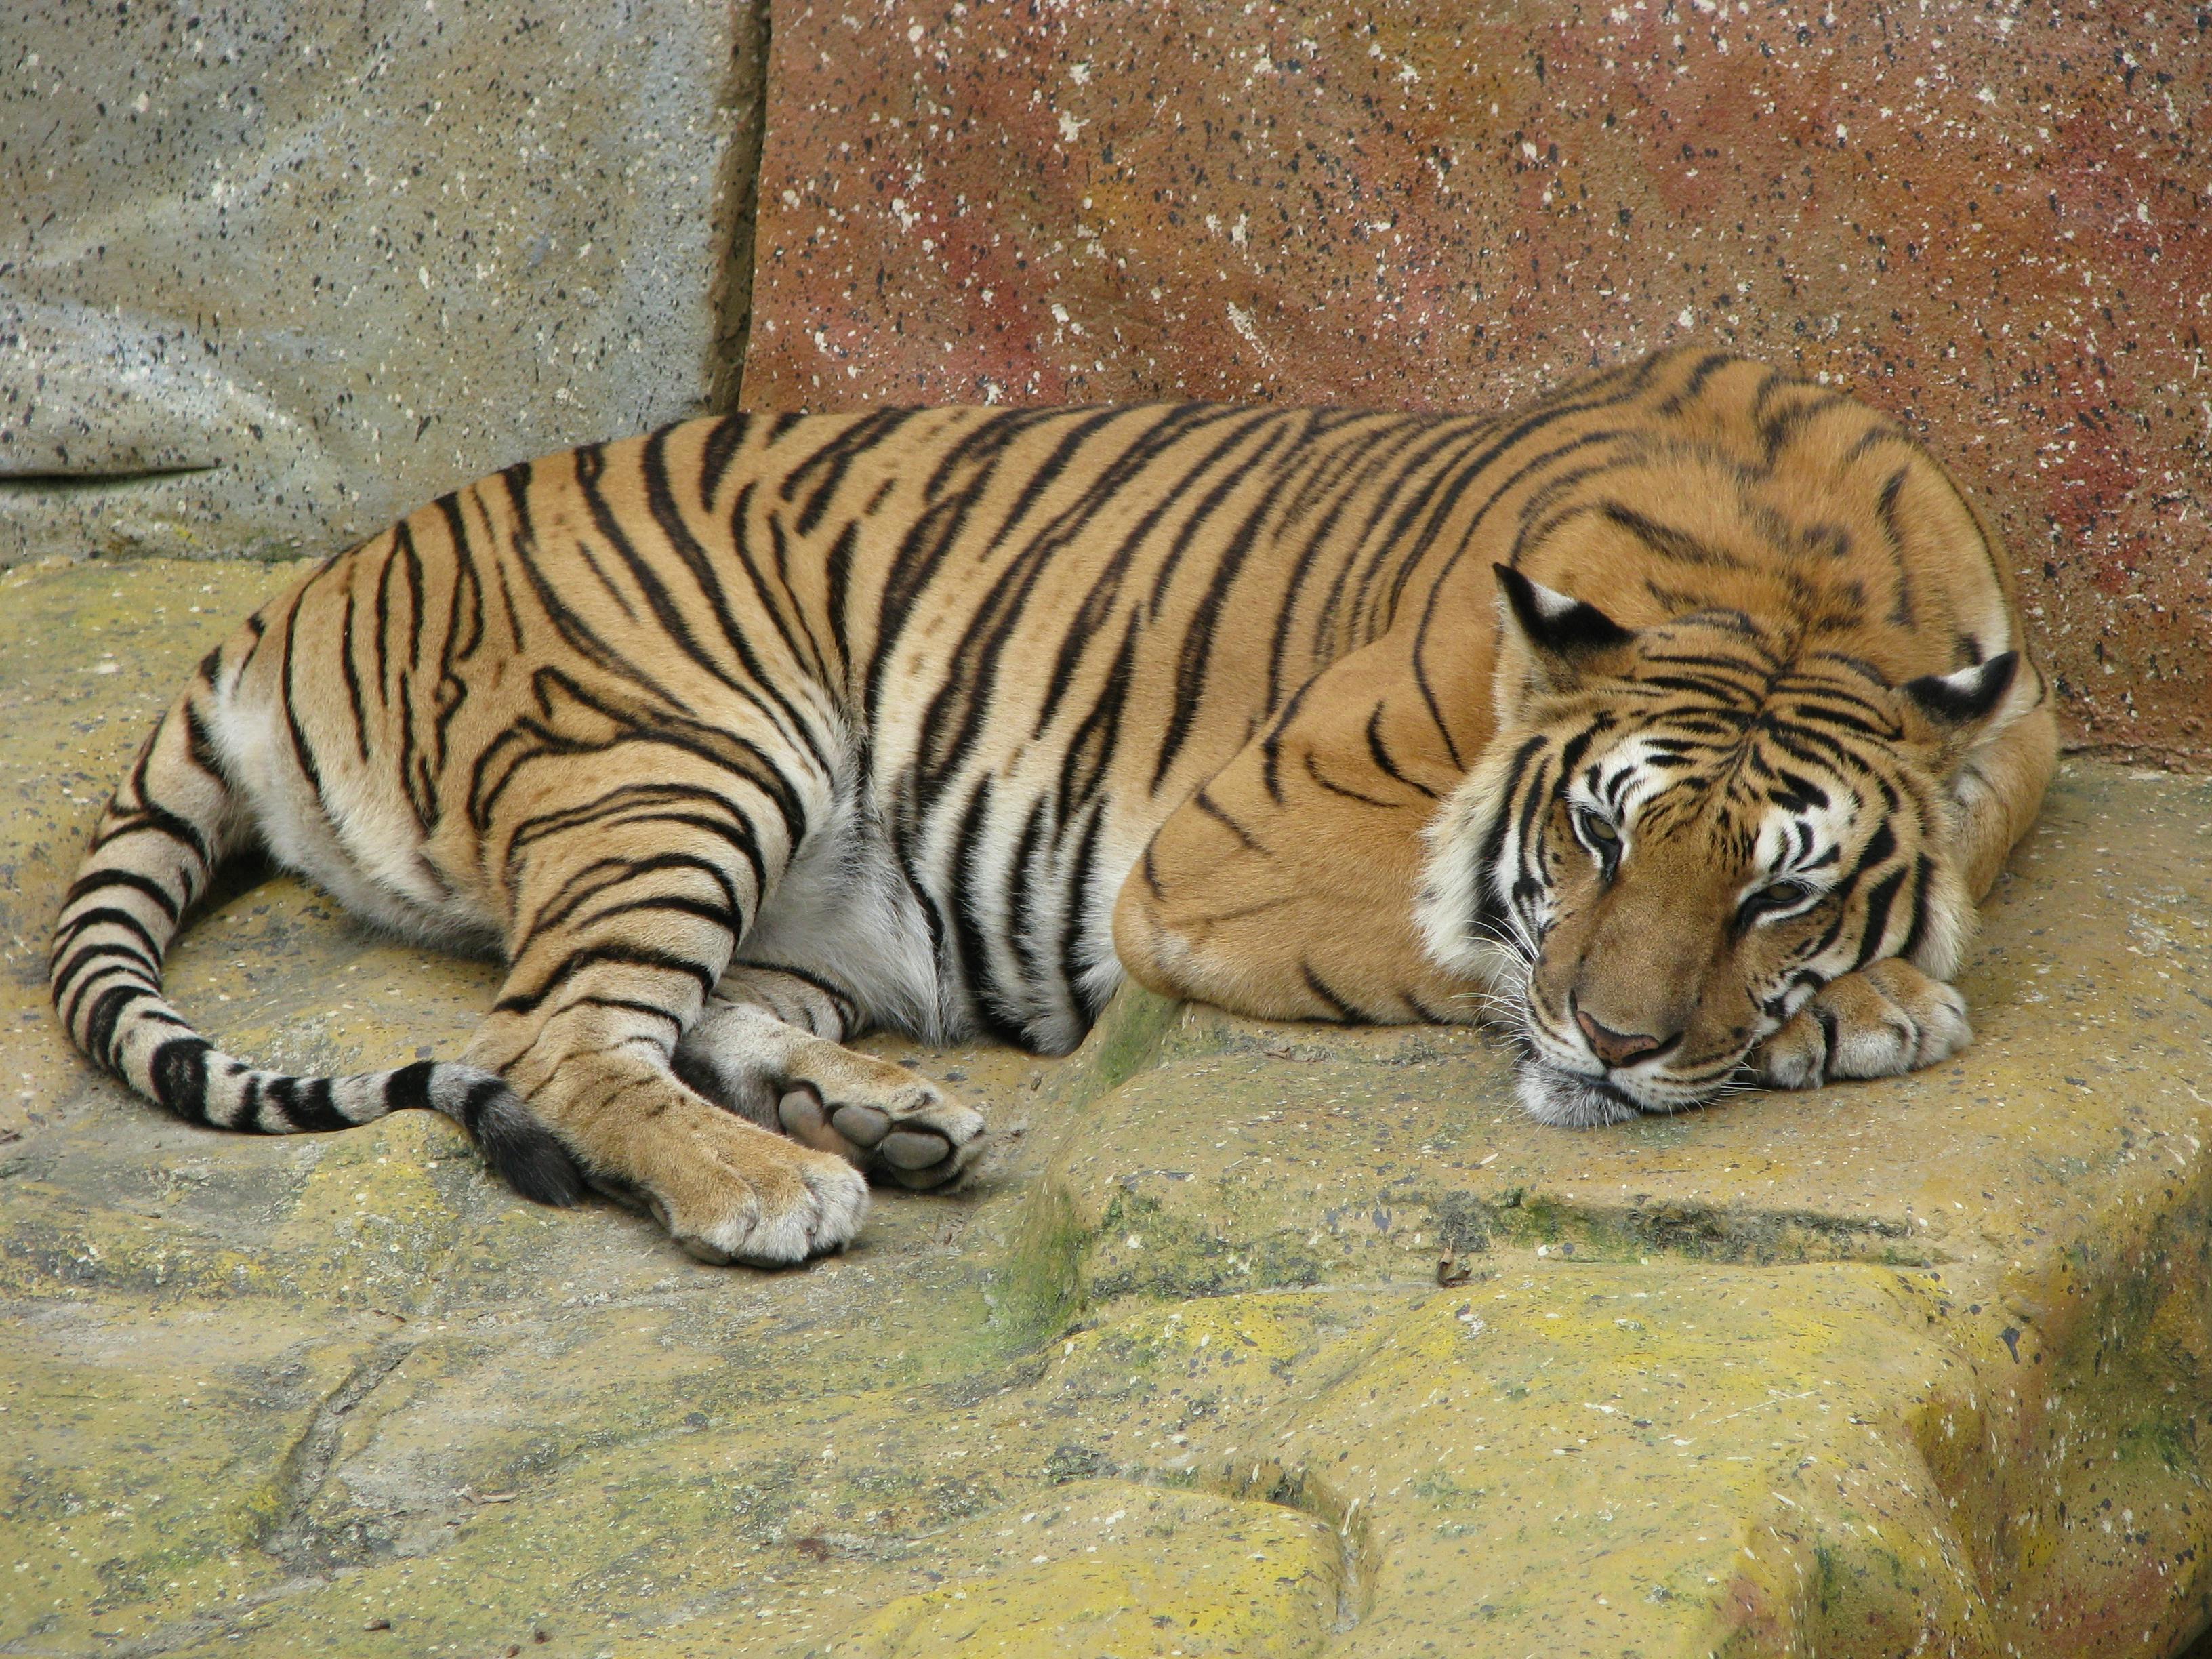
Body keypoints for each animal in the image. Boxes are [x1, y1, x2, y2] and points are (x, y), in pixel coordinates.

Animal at [49, 347, 2056, 1264]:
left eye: (1776, 889)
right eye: (1600, 837)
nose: (1624, 1051)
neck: (1794, 582)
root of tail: (307, 585)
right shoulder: (1226, 850)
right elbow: (1468, 935)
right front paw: (1878, 1008)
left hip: (807, 893)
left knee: (700, 1014)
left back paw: (896, 1120)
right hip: (684, 750)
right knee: (550, 1032)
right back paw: (775, 1186)